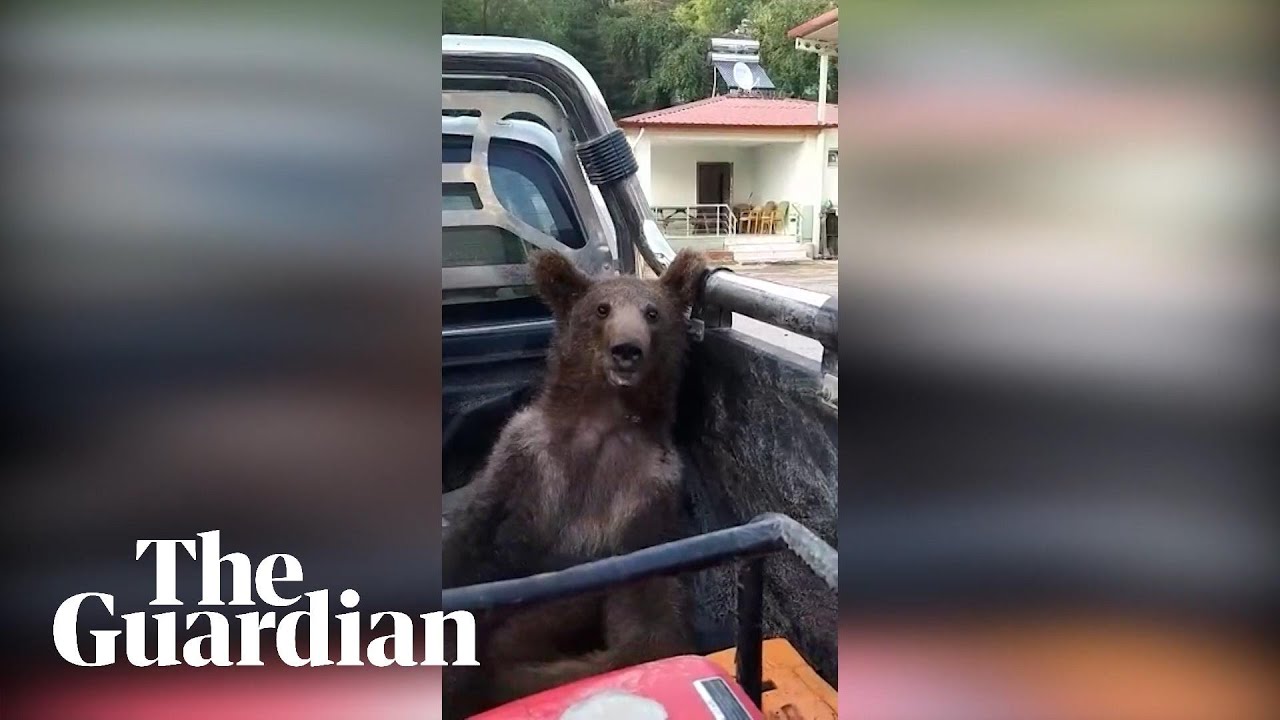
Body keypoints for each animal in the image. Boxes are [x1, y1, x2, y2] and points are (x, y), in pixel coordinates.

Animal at [442, 248, 708, 718]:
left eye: (653, 312)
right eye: (601, 309)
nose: (626, 350)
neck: (600, 427)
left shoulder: (647, 496)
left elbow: (647, 616)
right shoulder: (523, 461)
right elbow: (469, 550)